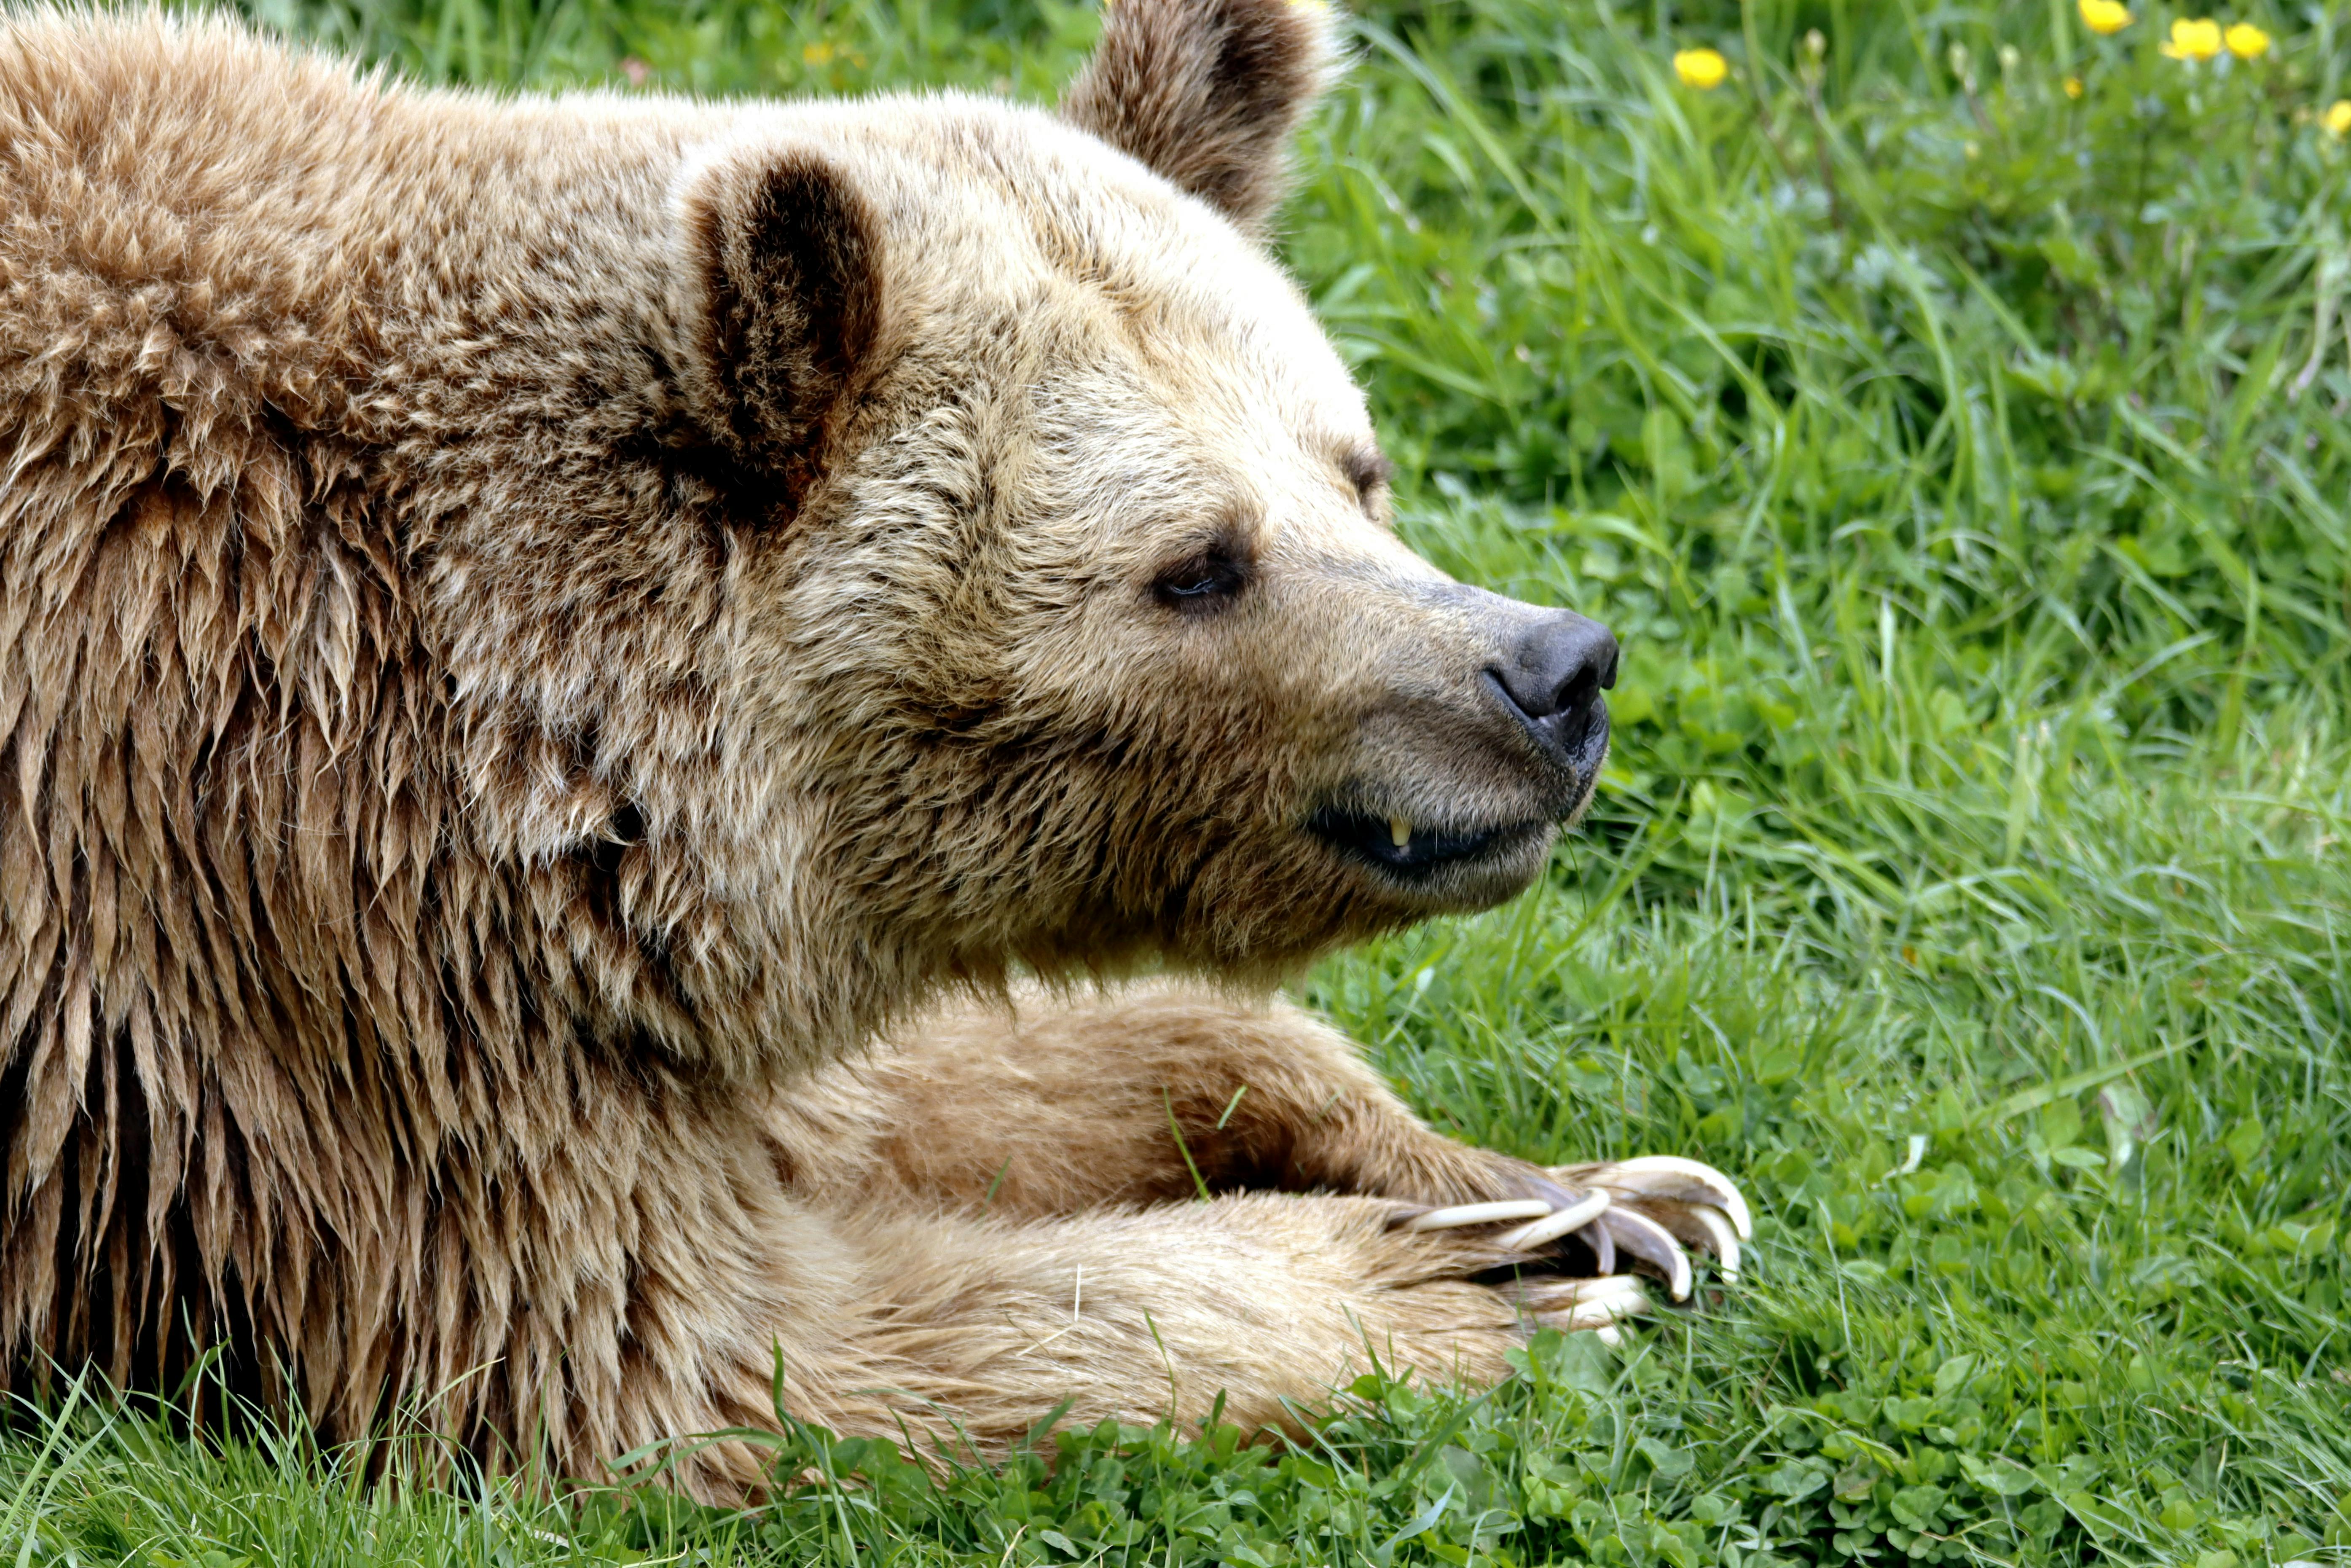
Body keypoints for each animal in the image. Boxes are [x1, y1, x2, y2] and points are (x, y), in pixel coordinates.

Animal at [0, 0, 1748, 1494]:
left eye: (1355, 468)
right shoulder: (294, 941)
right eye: (1195, 564)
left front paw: (1611, 1201)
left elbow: (943, 1083)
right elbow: (709, 1358)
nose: (1552, 672)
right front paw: (1478, 1279)